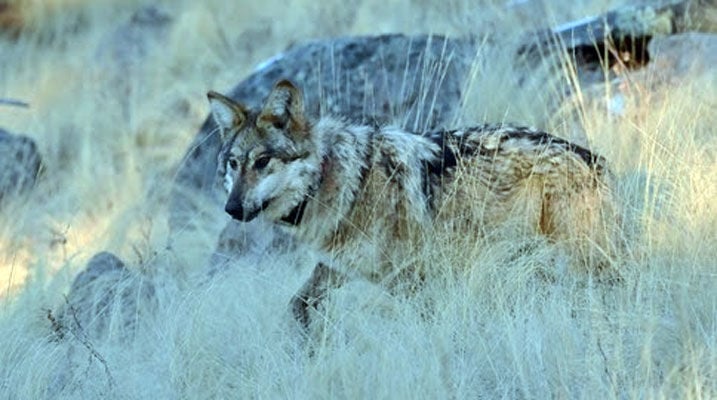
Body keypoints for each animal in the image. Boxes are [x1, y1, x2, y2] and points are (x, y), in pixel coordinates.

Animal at [207, 80, 620, 329]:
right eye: (234, 164)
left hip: (581, 260)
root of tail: (593, 157)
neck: (337, 178)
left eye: (263, 162)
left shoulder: (414, 280)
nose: (231, 209)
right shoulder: (337, 266)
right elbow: (298, 306)